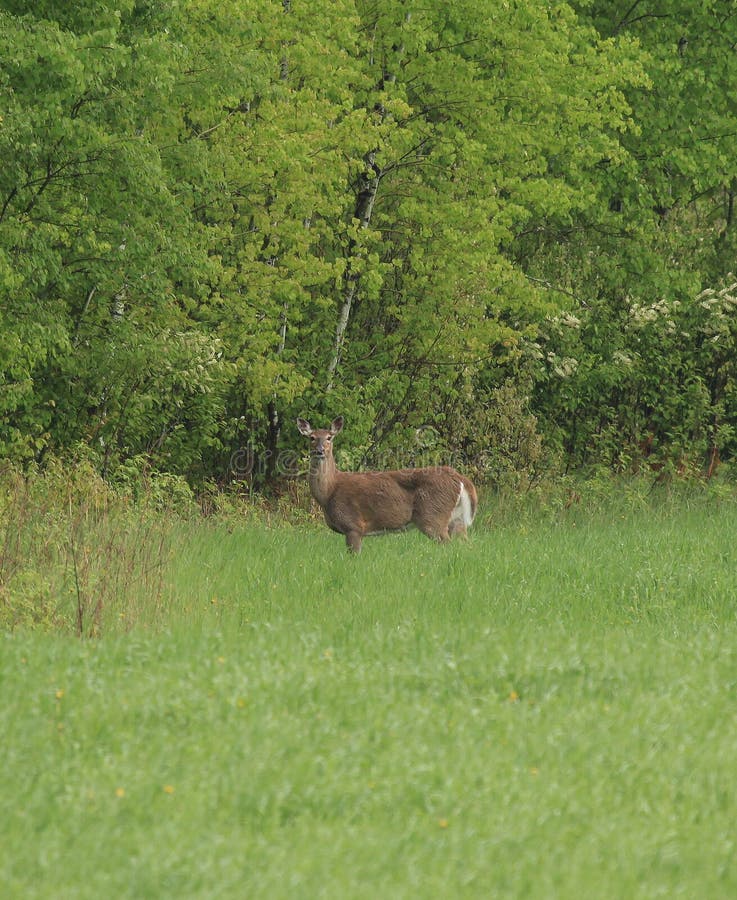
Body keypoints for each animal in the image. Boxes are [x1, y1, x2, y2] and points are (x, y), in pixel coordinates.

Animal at [297, 416, 477, 553]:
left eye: (329, 437)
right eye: (312, 438)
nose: (320, 450)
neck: (329, 493)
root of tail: (461, 479)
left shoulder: (353, 525)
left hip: (434, 516)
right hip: (456, 518)